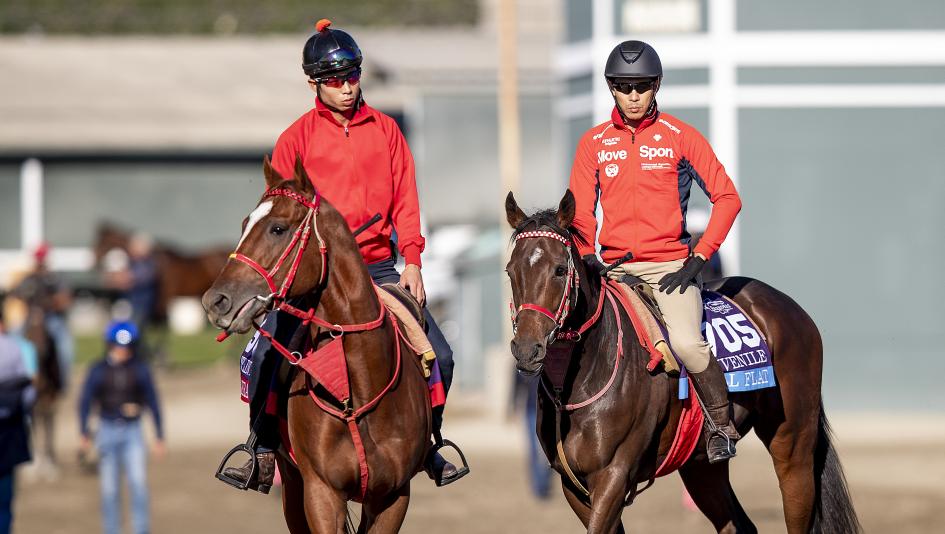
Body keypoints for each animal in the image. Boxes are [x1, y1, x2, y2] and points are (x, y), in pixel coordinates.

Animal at [202, 157, 431, 533]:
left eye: (278, 229)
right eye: (244, 224)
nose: (216, 301)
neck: (358, 387)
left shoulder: (393, 497)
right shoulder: (320, 493)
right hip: (292, 486)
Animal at [504, 190, 860, 533]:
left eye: (559, 270)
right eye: (510, 270)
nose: (527, 349)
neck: (582, 378)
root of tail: (787, 306)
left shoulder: (613, 476)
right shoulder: (573, 485)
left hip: (793, 445)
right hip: (701, 464)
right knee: (738, 524)